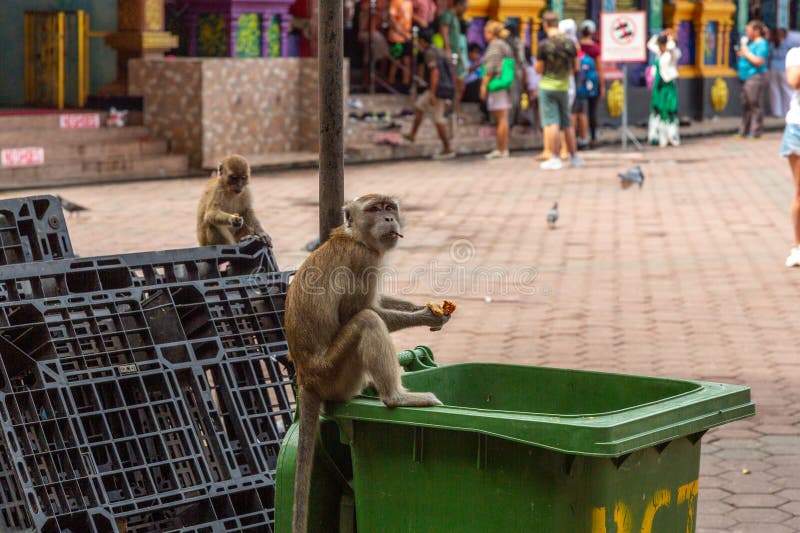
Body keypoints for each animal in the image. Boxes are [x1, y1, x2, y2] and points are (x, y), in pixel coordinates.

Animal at [285, 194, 453, 533]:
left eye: (390, 208)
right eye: (375, 209)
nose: (389, 219)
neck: (355, 237)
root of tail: (306, 378)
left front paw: (430, 308)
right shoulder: (364, 261)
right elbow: (361, 311)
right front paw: (427, 315)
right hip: (335, 372)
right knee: (367, 320)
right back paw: (395, 397)